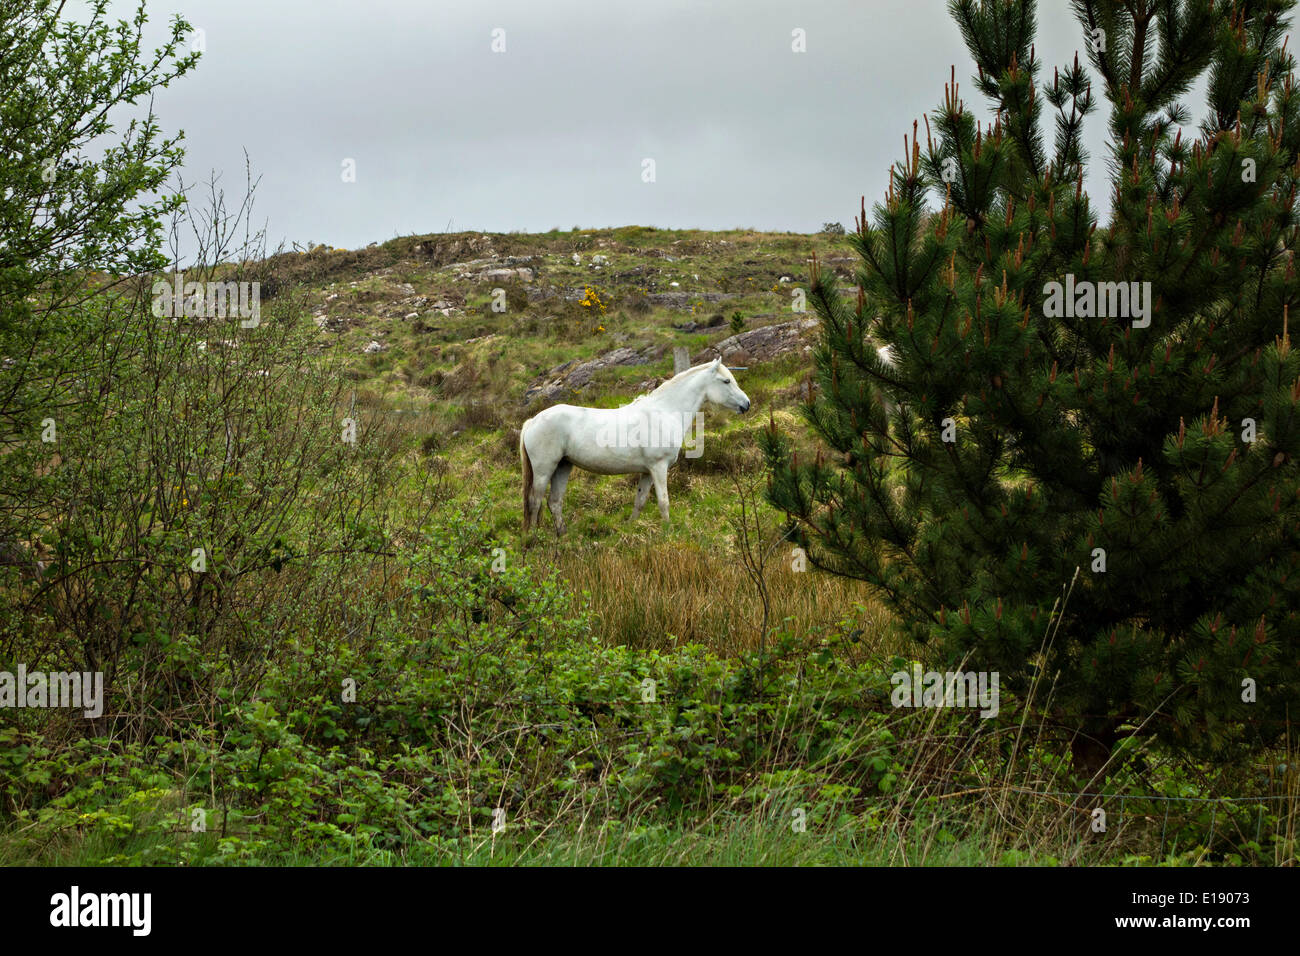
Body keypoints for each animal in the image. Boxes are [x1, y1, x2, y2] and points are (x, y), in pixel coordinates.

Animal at [519, 357, 751, 538]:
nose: (746, 404)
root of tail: (533, 421)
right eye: (726, 381)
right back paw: (533, 538)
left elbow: (639, 501)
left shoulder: (647, 472)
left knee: (554, 502)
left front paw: (629, 528)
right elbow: (663, 502)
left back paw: (563, 536)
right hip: (544, 469)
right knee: (535, 501)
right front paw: (668, 533)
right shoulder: (659, 468)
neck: (665, 411)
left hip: (563, 466)